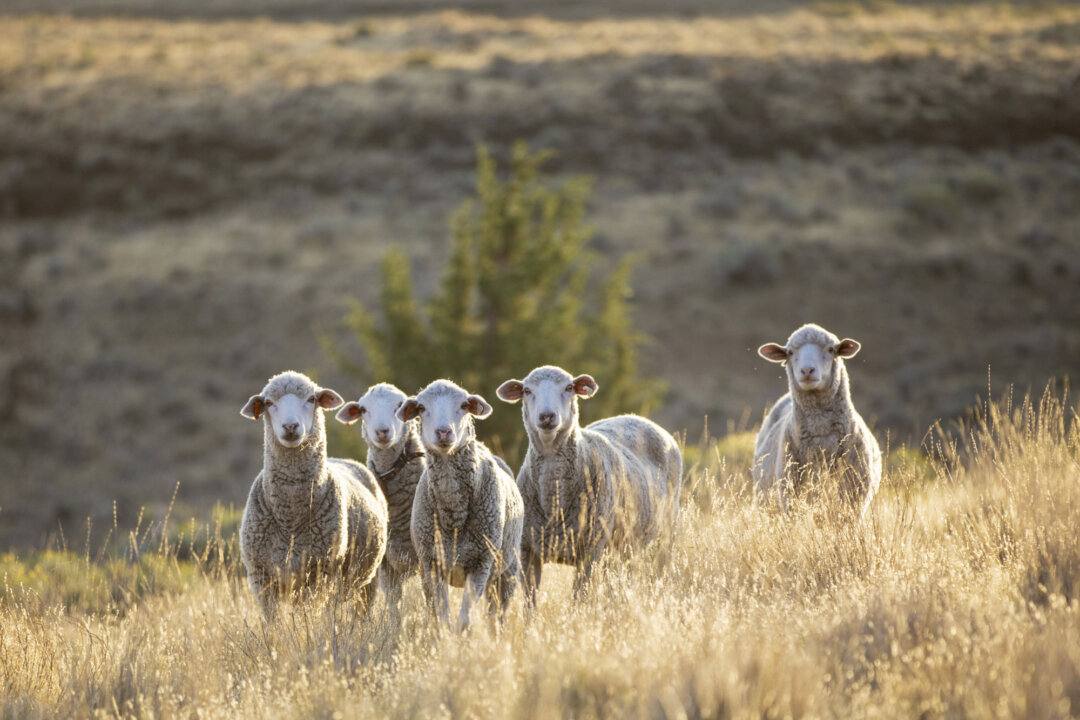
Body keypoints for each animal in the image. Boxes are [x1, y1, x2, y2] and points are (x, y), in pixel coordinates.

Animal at [239, 370, 388, 618]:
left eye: (311, 399)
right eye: (268, 403)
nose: (290, 426)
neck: (290, 516)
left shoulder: (321, 572)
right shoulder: (262, 577)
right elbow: (275, 622)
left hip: (368, 578)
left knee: (360, 612)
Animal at [397, 379, 523, 632]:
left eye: (464, 405)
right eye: (421, 407)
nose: (444, 432)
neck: (453, 513)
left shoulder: (481, 563)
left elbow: (464, 621)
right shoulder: (433, 563)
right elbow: (443, 618)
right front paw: (446, 638)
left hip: (507, 570)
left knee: (497, 614)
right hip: (425, 573)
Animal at [496, 365, 683, 604]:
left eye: (569, 388)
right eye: (527, 391)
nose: (547, 416)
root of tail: (636, 417)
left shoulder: (590, 551)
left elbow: (579, 597)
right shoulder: (526, 551)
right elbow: (531, 601)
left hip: (666, 533)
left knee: (660, 571)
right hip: (623, 546)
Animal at [752, 323, 882, 517]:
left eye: (831, 349)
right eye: (790, 352)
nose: (807, 371)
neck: (822, 435)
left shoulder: (853, 499)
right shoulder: (791, 496)